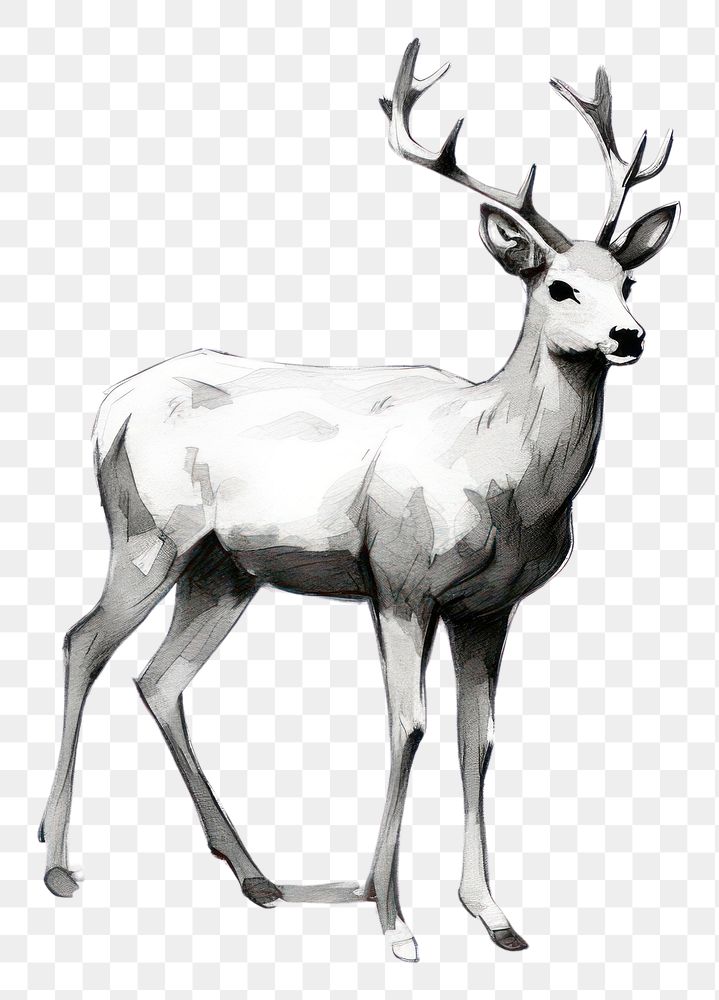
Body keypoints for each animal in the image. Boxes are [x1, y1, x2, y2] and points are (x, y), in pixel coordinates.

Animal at [39, 39, 679, 962]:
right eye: (558, 287)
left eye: (626, 277)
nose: (628, 336)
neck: (500, 474)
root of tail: (109, 411)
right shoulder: (400, 578)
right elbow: (406, 725)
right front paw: (393, 918)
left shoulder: (490, 606)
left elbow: (478, 738)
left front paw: (493, 916)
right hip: (147, 533)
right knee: (82, 642)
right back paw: (56, 863)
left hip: (225, 571)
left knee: (159, 679)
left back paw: (257, 877)